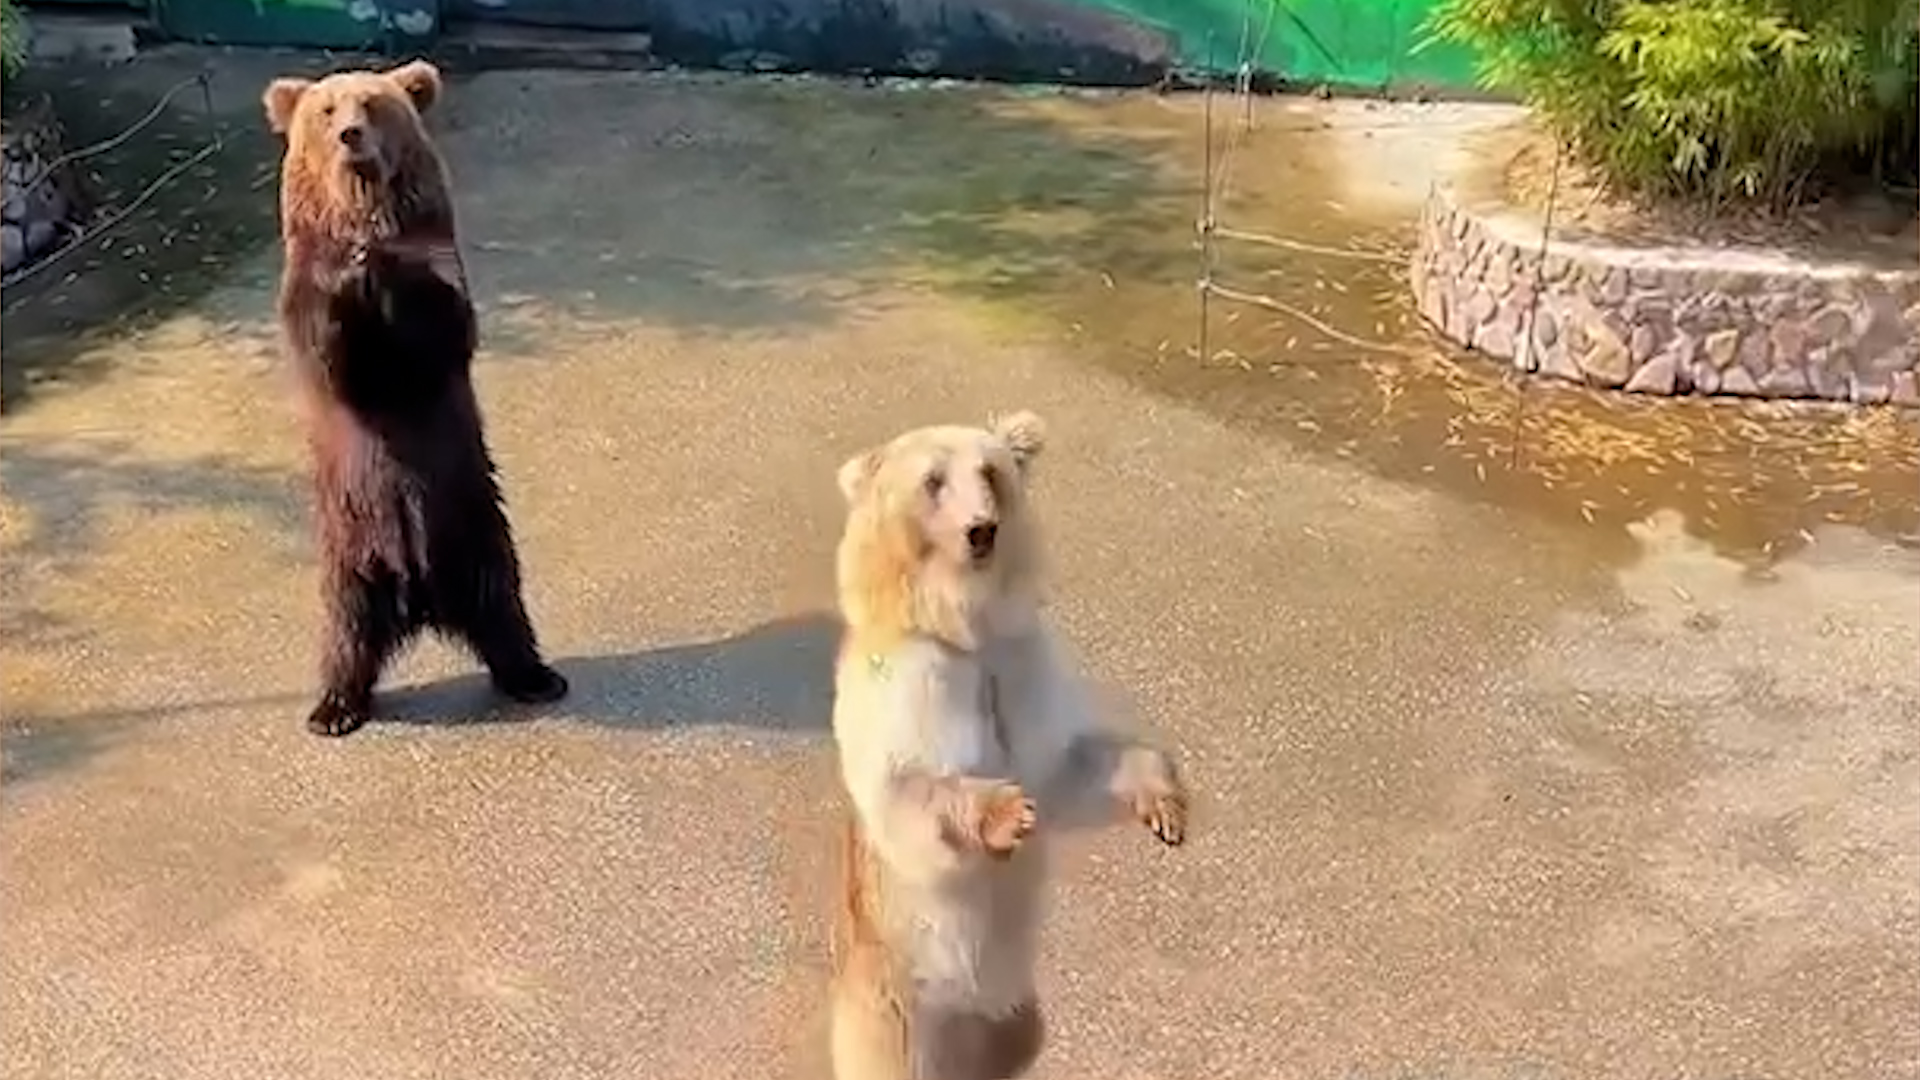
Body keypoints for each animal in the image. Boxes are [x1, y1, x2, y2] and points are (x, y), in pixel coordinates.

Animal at [263, 60, 567, 737]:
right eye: (327, 110)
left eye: (374, 103)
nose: (351, 135)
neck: (360, 211)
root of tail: (421, 599)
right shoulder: (308, 298)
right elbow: (329, 355)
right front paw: (349, 273)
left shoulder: (439, 278)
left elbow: (438, 331)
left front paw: (382, 265)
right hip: (349, 548)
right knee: (346, 633)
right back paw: (334, 707)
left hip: (473, 523)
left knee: (503, 607)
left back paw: (534, 677)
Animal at [826, 410, 1189, 1080]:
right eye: (933, 480)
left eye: (990, 472)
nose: (981, 531)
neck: (967, 626)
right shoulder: (915, 681)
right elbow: (907, 788)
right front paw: (1007, 812)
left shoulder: (1021, 665)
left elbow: (1070, 761)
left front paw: (1164, 808)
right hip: (895, 1008)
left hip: (1019, 1009)